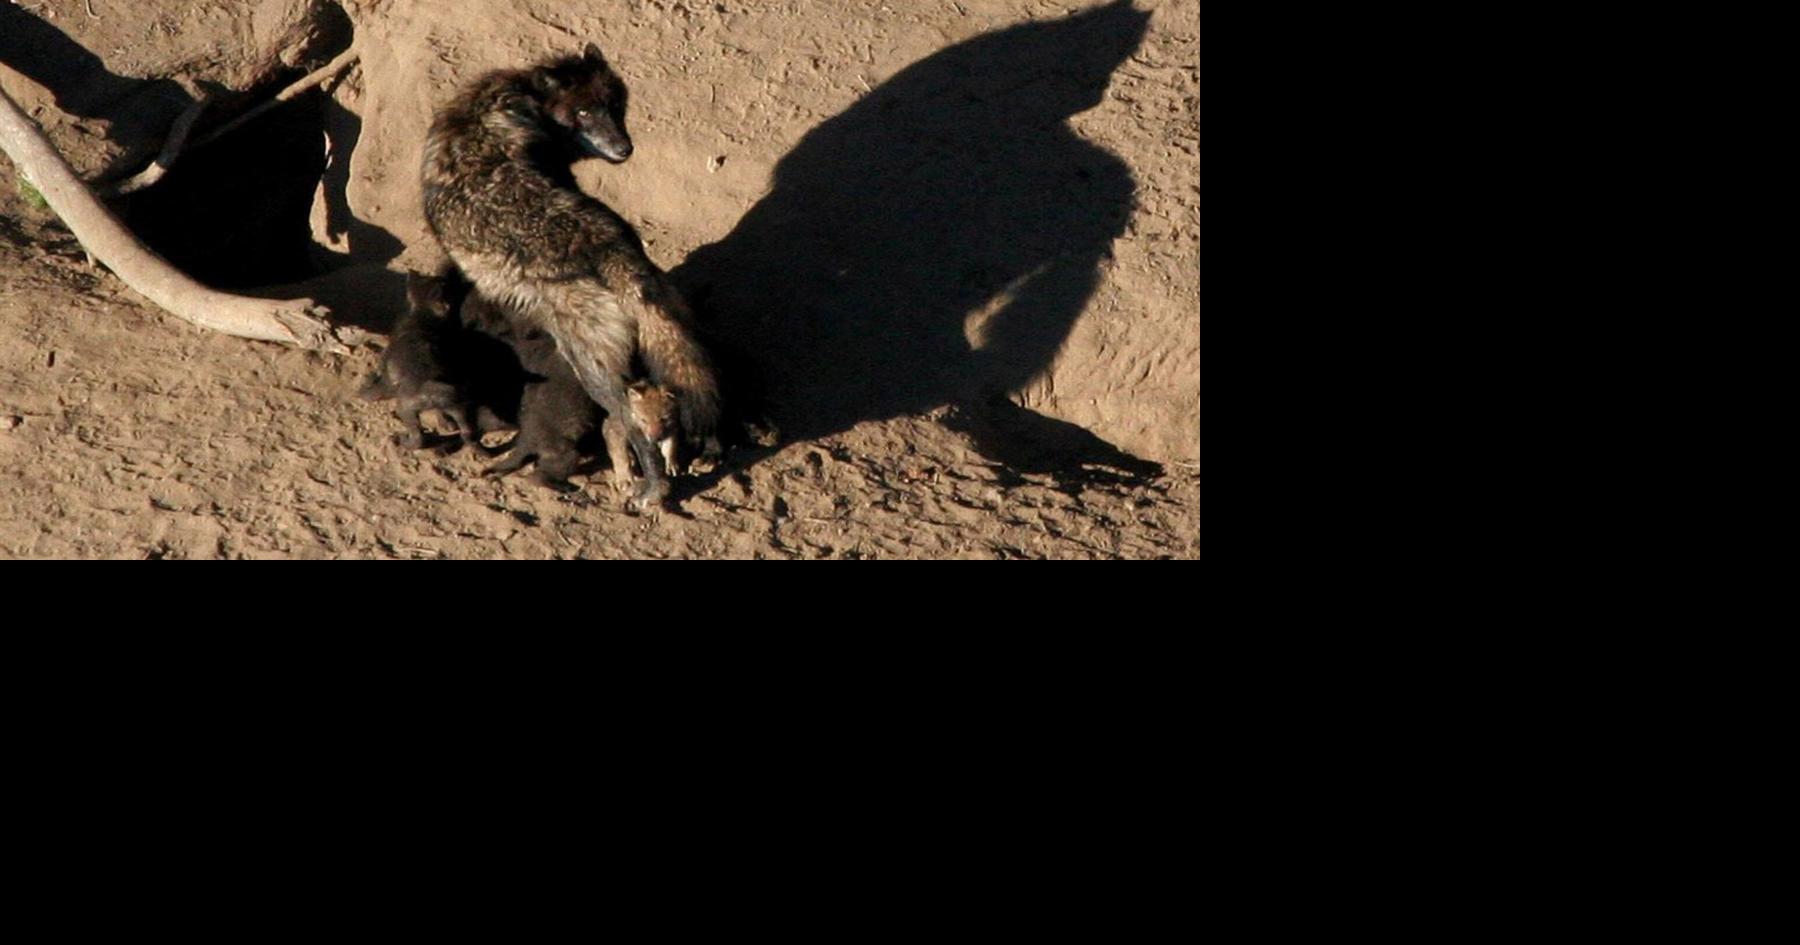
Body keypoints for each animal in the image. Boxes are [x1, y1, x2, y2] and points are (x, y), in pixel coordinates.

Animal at [421, 43, 720, 509]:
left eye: (612, 107)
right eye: (582, 112)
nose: (624, 147)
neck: (520, 97)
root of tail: (611, 248)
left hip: (593, 369)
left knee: (632, 425)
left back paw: (651, 491)